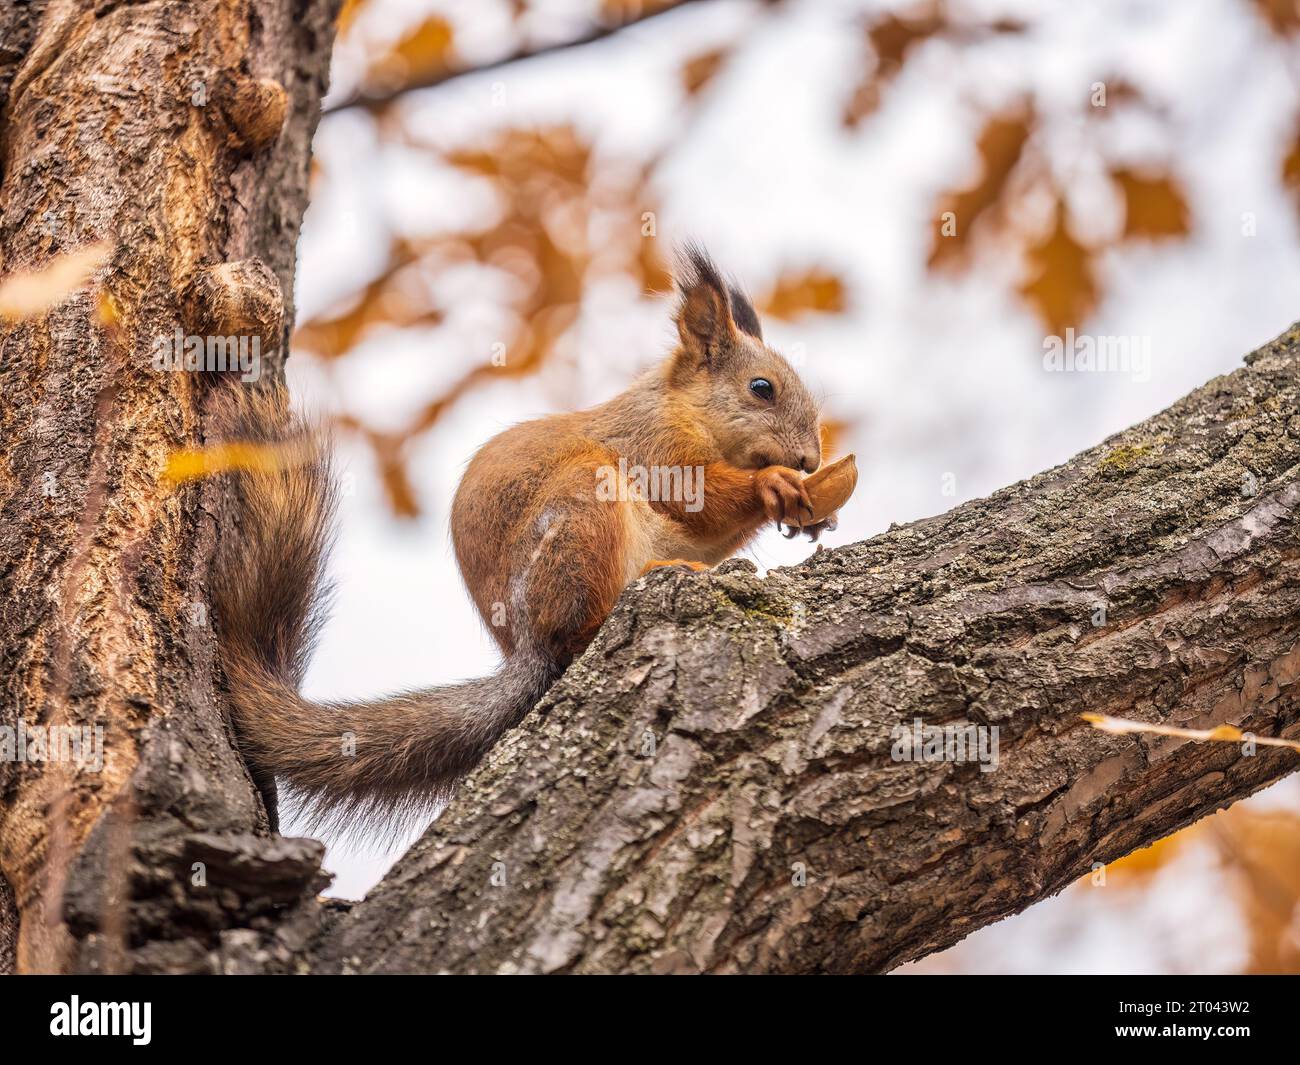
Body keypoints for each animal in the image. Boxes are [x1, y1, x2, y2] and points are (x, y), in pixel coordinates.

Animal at [211, 245, 830, 833]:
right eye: (761, 389)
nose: (809, 460)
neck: (683, 408)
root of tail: (523, 649)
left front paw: (808, 513)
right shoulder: (657, 448)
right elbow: (698, 501)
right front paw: (774, 484)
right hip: (580, 515)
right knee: (571, 633)